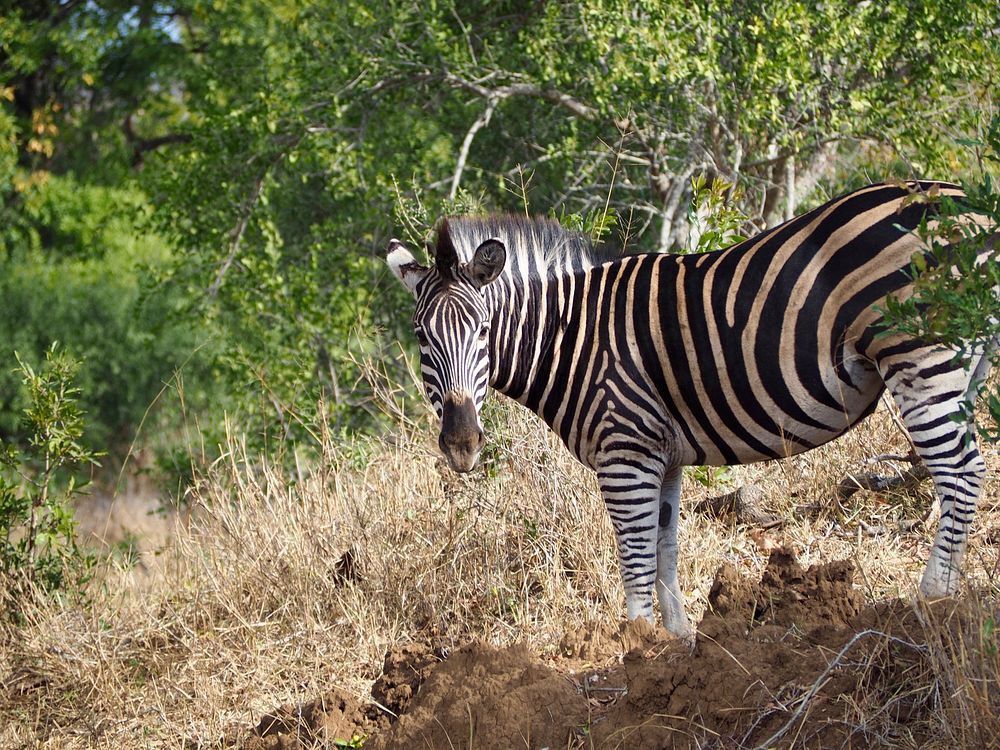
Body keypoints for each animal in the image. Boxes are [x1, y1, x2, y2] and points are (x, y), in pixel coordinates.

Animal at [387, 181, 996, 638]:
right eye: (421, 338)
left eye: (483, 332)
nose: (461, 447)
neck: (571, 336)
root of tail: (959, 197)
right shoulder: (664, 454)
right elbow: (665, 549)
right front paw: (678, 648)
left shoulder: (625, 451)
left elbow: (636, 563)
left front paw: (635, 651)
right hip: (963, 367)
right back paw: (959, 601)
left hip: (922, 357)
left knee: (961, 474)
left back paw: (932, 602)